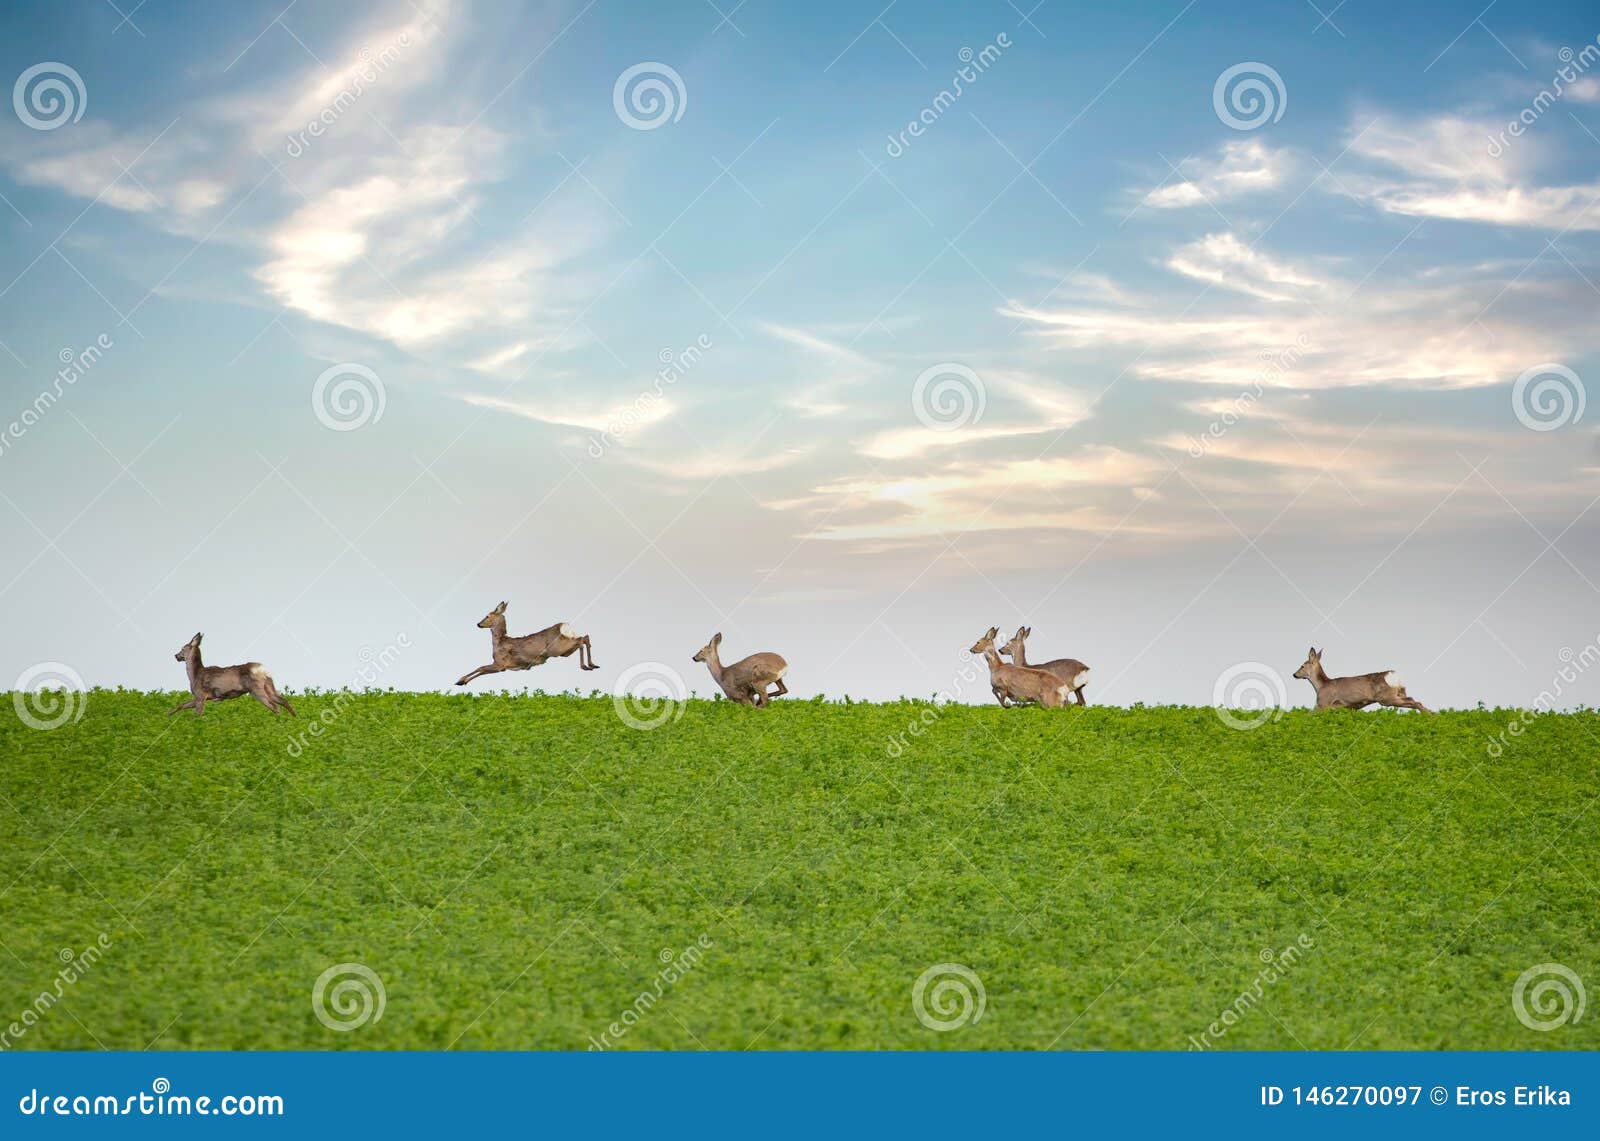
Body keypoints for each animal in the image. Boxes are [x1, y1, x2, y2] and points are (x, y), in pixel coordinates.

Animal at [455, 601, 598, 686]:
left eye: (487, 616)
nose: (478, 624)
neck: (499, 642)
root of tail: (565, 626)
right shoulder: (501, 667)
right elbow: (482, 670)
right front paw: (462, 682)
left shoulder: (501, 664)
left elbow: (480, 667)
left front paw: (460, 680)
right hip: (565, 650)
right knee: (585, 637)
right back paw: (592, 665)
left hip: (557, 649)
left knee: (581, 640)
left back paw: (586, 666)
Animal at [1292, 647, 1433, 713]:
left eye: (1302, 666)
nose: (1294, 674)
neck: (1321, 686)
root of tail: (1393, 675)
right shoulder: (1346, 708)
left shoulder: (1323, 703)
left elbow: (1308, 714)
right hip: (1399, 692)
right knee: (1413, 700)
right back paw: (1432, 714)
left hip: (1385, 697)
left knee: (1414, 701)